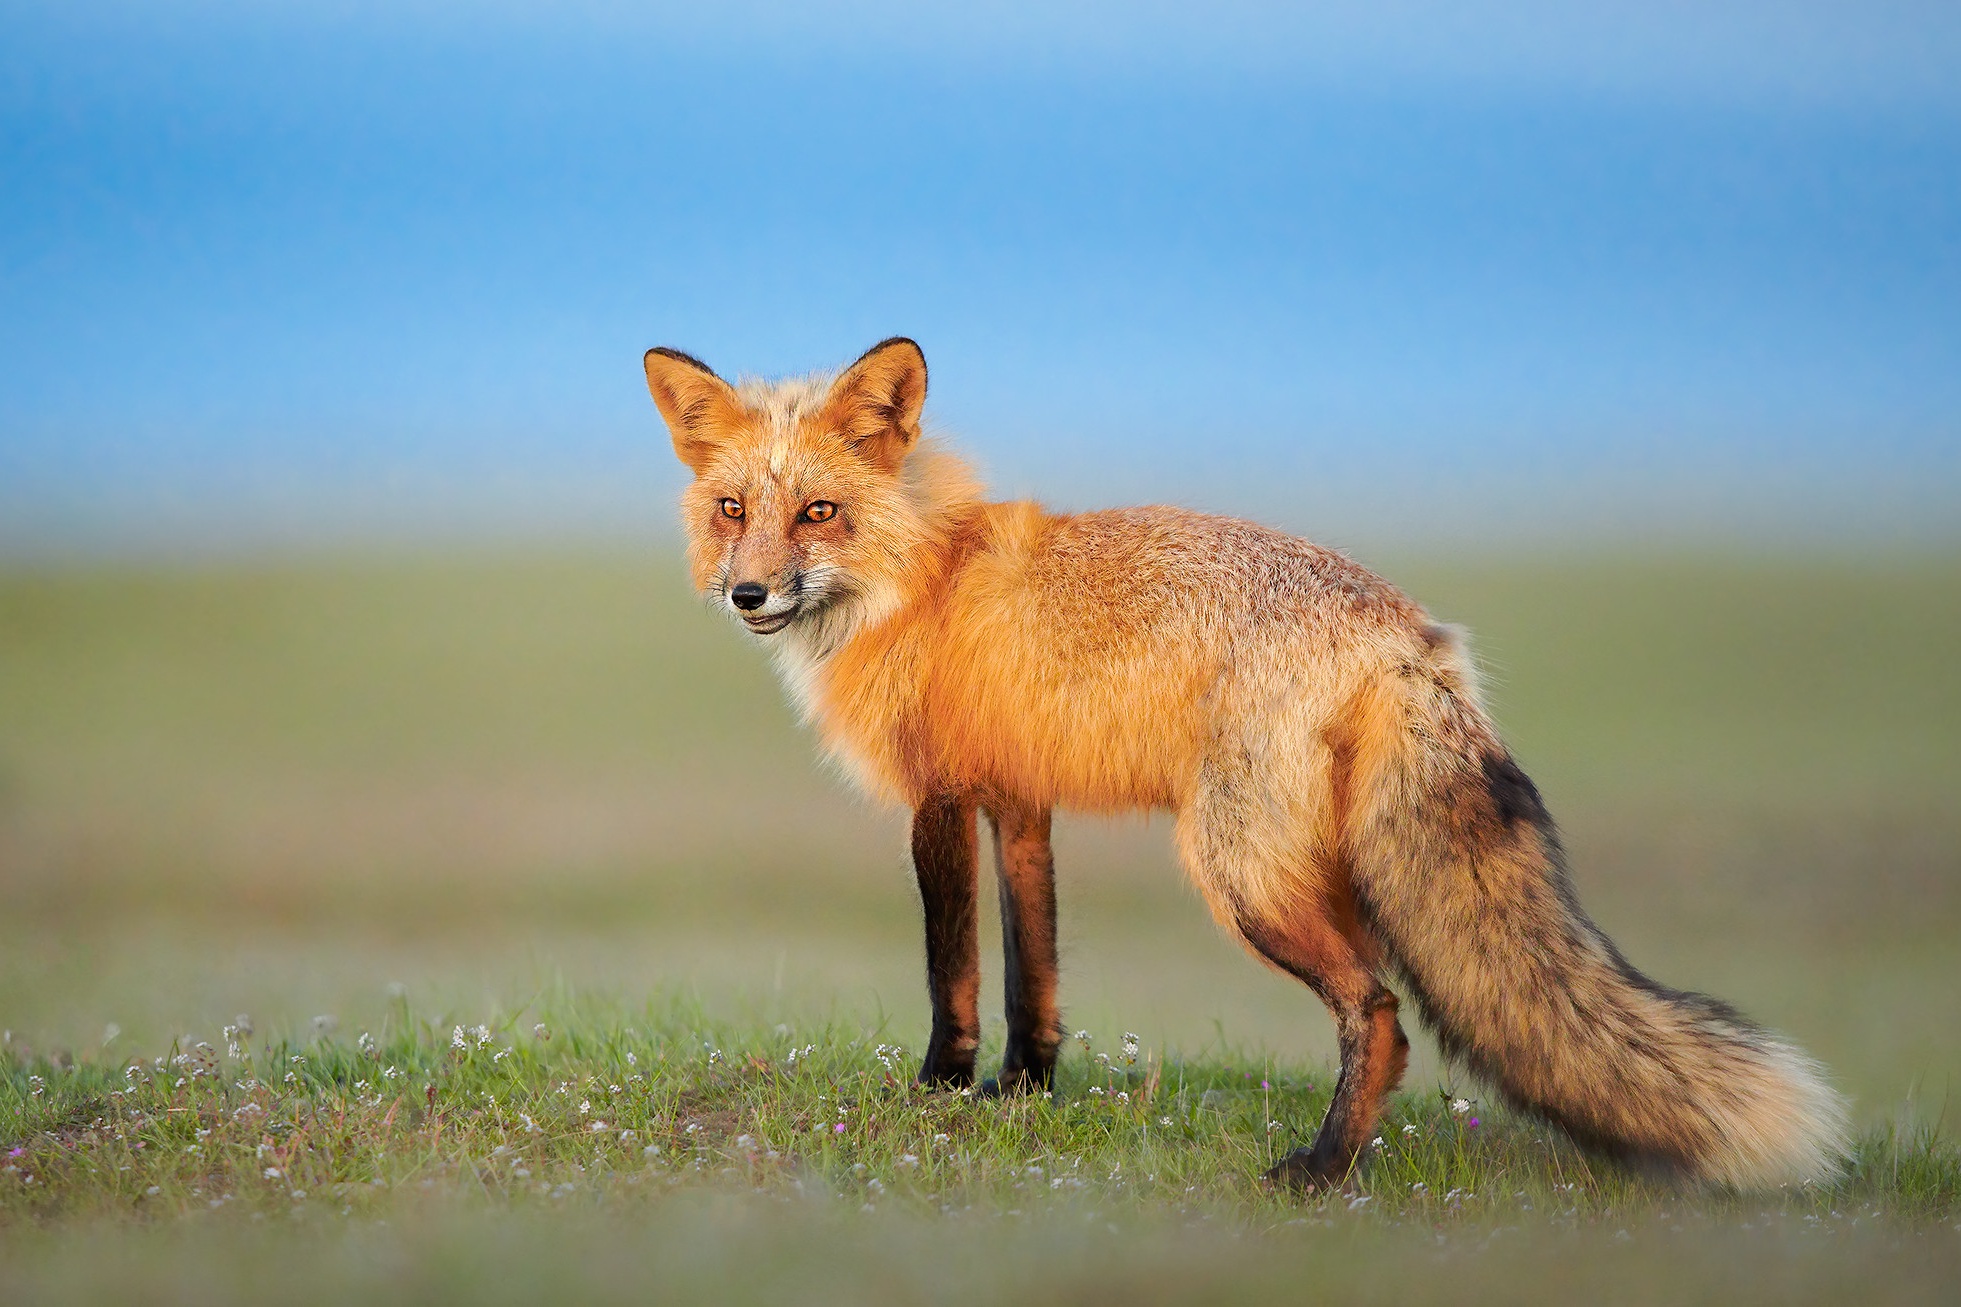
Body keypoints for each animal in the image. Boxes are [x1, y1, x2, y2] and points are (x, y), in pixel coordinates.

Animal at [641, 336, 1849, 1191]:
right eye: (732, 509)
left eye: (819, 512)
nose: (747, 591)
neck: (919, 581)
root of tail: (1406, 630)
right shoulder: (1019, 802)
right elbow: (1034, 965)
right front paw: (1021, 1092)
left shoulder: (936, 796)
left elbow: (954, 969)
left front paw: (940, 1090)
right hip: (1310, 869)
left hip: (1239, 872)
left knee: (1378, 1010)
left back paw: (1319, 1171)